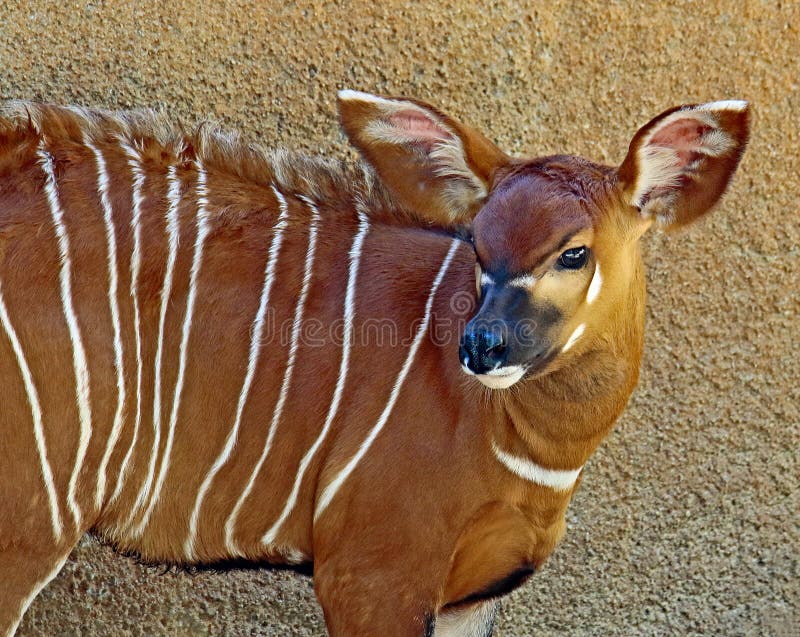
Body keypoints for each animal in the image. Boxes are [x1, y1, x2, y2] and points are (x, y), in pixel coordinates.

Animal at [0, 90, 748, 636]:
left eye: (574, 251)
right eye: (478, 243)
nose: (482, 346)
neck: (523, 443)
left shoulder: (471, 596)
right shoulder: (373, 572)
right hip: (31, 521)